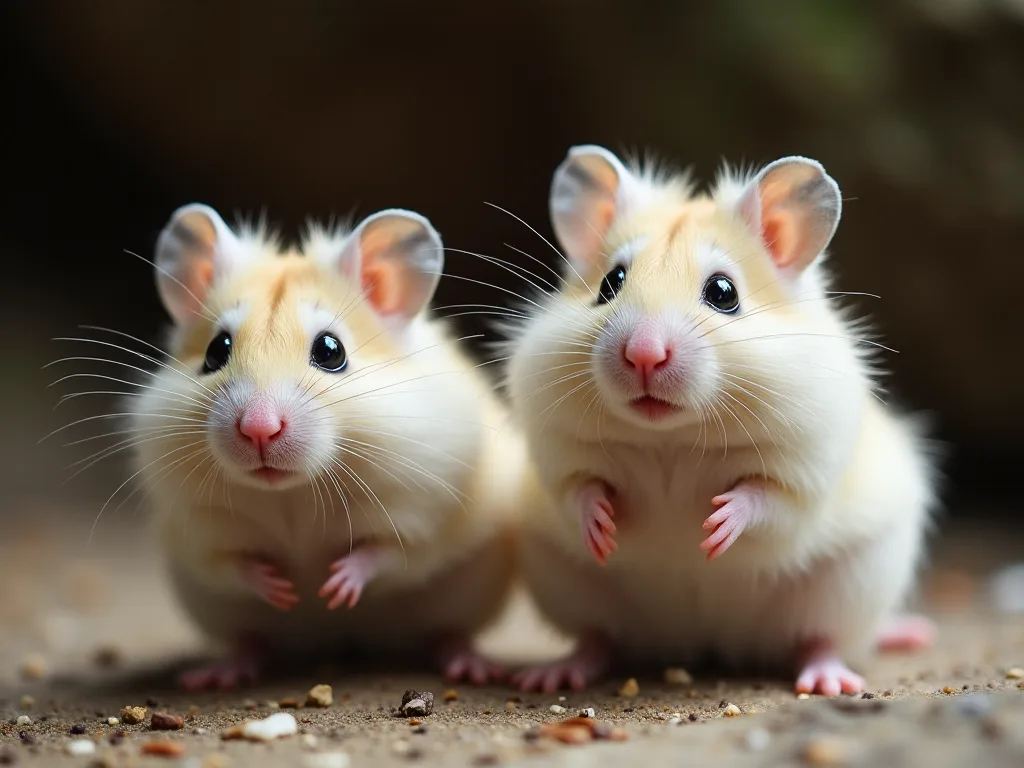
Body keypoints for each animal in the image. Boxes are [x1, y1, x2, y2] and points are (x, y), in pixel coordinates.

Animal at [129, 204, 522, 689]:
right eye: (216, 351)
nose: (259, 429)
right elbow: (234, 564)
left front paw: (333, 587)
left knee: (449, 634)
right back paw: (216, 673)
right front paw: (284, 589)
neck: (291, 492)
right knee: (249, 641)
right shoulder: (201, 533)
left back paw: (472, 667)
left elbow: (386, 553)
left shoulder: (423, 516)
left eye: (331, 351)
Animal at [504, 145, 937, 695]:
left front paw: (713, 528)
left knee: (820, 640)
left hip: (848, 585)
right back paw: (553, 674)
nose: (644, 355)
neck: (670, 438)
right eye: (609, 284)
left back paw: (832, 678)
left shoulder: (804, 473)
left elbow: (764, 498)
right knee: (597, 639)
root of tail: (705, 642)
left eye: (724, 292)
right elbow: (580, 489)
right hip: (567, 584)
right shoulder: (557, 456)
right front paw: (602, 528)